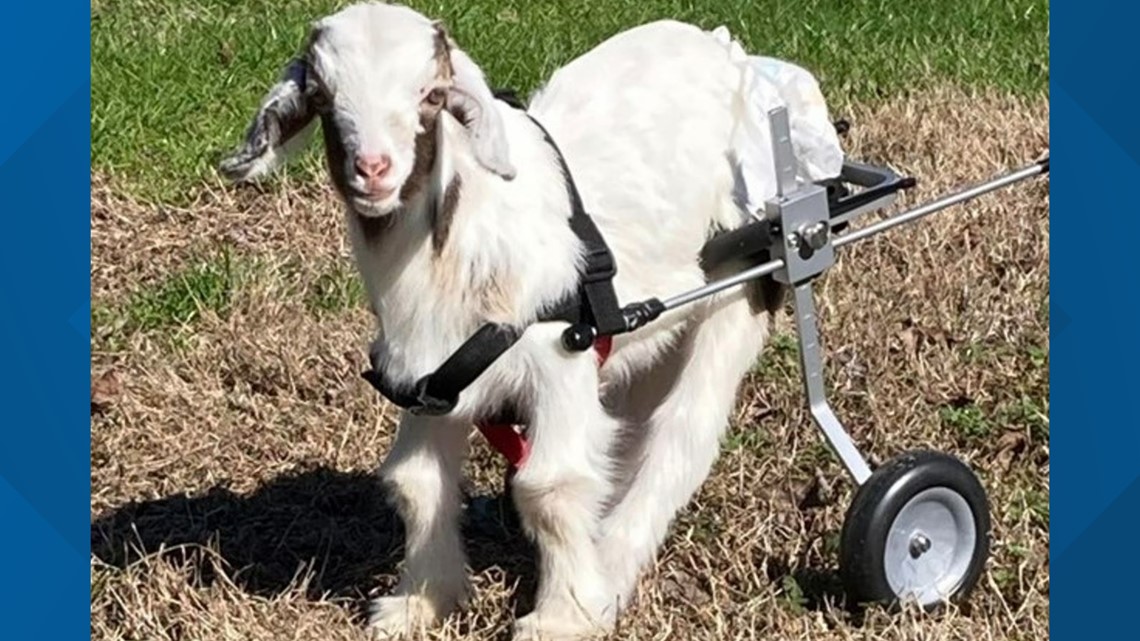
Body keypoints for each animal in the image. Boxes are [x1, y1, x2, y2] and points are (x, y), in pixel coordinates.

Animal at [219, 2, 837, 639]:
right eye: (321, 95)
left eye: (431, 94)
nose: (373, 169)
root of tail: (726, 50)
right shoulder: (430, 377)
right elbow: (416, 483)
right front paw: (421, 601)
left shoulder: (559, 355)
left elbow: (550, 486)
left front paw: (564, 615)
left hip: (746, 275)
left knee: (685, 428)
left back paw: (611, 569)